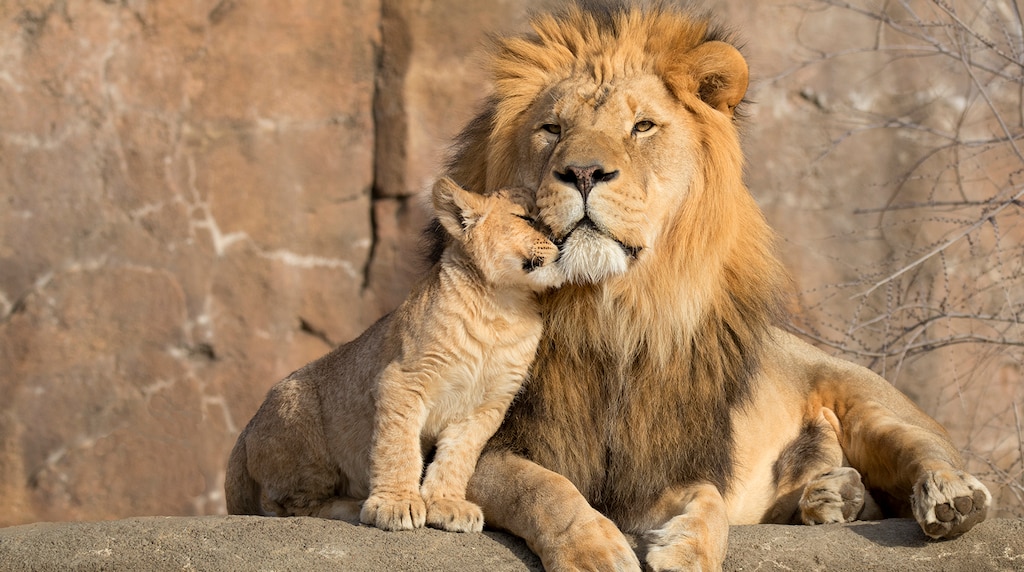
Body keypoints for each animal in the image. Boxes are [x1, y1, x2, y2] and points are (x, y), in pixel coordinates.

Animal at [225, 177, 564, 533]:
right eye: (526, 218)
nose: (561, 239)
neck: (503, 307)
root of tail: (245, 431)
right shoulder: (403, 379)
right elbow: (398, 447)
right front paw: (395, 504)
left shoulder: (487, 406)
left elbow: (458, 457)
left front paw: (447, 504)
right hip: (301, 420)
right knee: (286, 506)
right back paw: (352, 505)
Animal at [429, 3, 991, 571]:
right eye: (551, 127)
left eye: (642, 126)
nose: (583, 172)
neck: (611, 313)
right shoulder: (483, 444)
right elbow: (544, 489)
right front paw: (594, 550)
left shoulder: (663, 463)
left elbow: (709, 500)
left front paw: (689, 552)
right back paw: (832, 496)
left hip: (867, 401)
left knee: (926, 451)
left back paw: (949, 497)